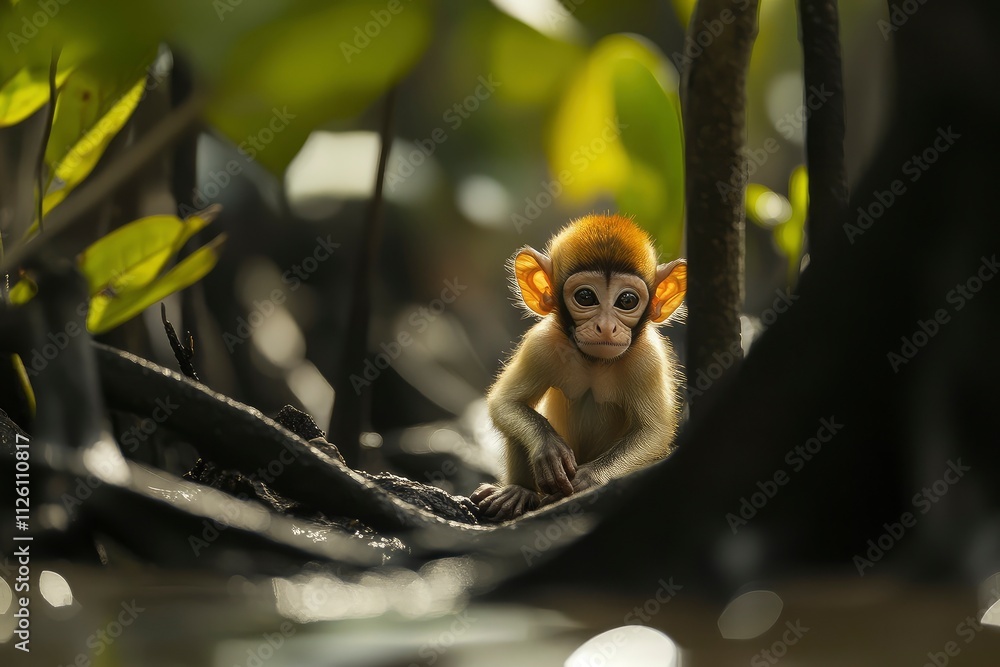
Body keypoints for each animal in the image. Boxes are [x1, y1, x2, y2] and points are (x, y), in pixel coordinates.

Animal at [471, 213, 687, 521]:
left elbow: (653, 432)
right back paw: (519, 491)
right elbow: (506, 403)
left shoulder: (648, 360)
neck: (594, 362)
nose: (606, 327)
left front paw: (589, 478)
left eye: (627, 300)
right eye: (586, 297)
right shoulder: (540, 344)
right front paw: (548, 447)